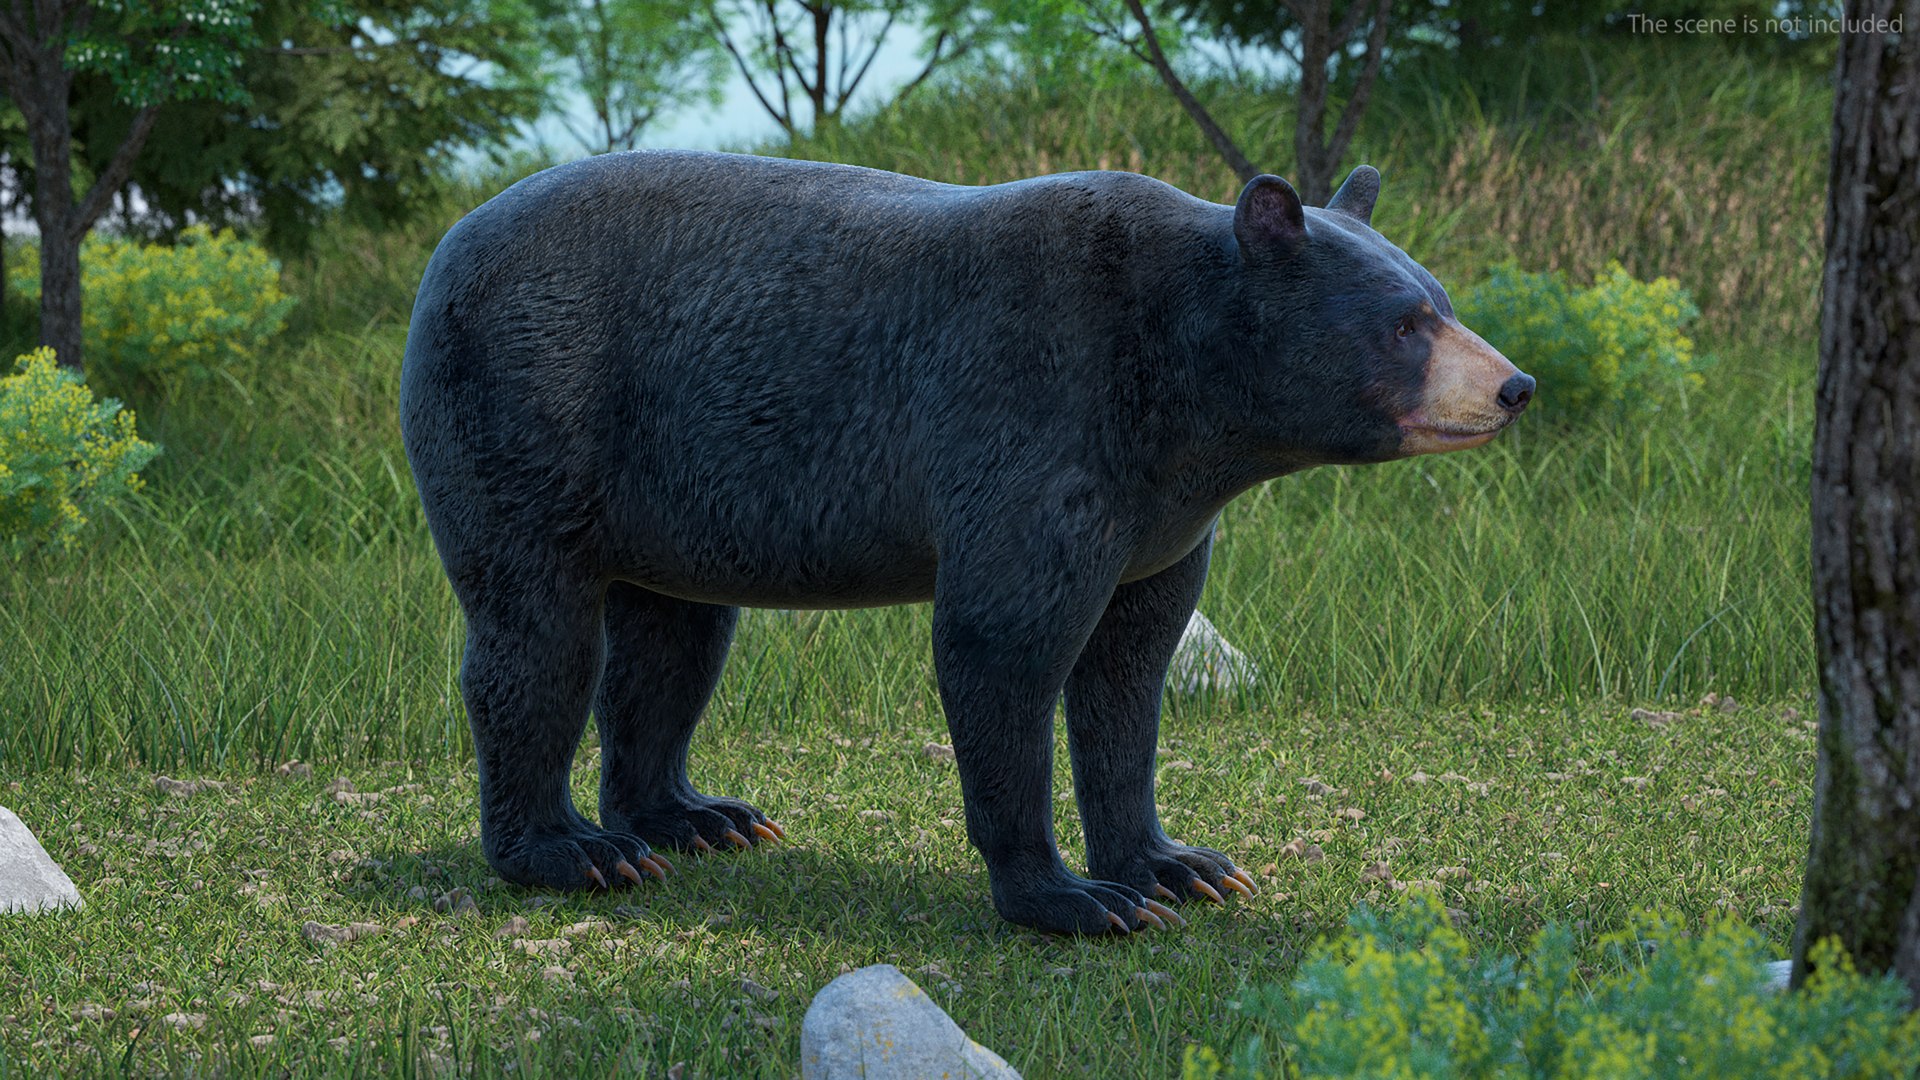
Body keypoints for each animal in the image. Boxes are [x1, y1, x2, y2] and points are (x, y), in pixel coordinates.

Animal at [400, 150, 1532, 936]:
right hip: (529, 408)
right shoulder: (1036, 420)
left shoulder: (1160, 514)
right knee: (536, 638)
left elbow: (1133, 668)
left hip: (669, 484)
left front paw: (1174, 863)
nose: (1514, 385)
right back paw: (569, 849)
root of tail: (448, 244)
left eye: (1440, 299)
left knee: (673, 641)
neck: (1182, 388)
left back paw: (686, 817)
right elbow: (1003, 646)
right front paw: (1071, 898)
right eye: (1406, 323)